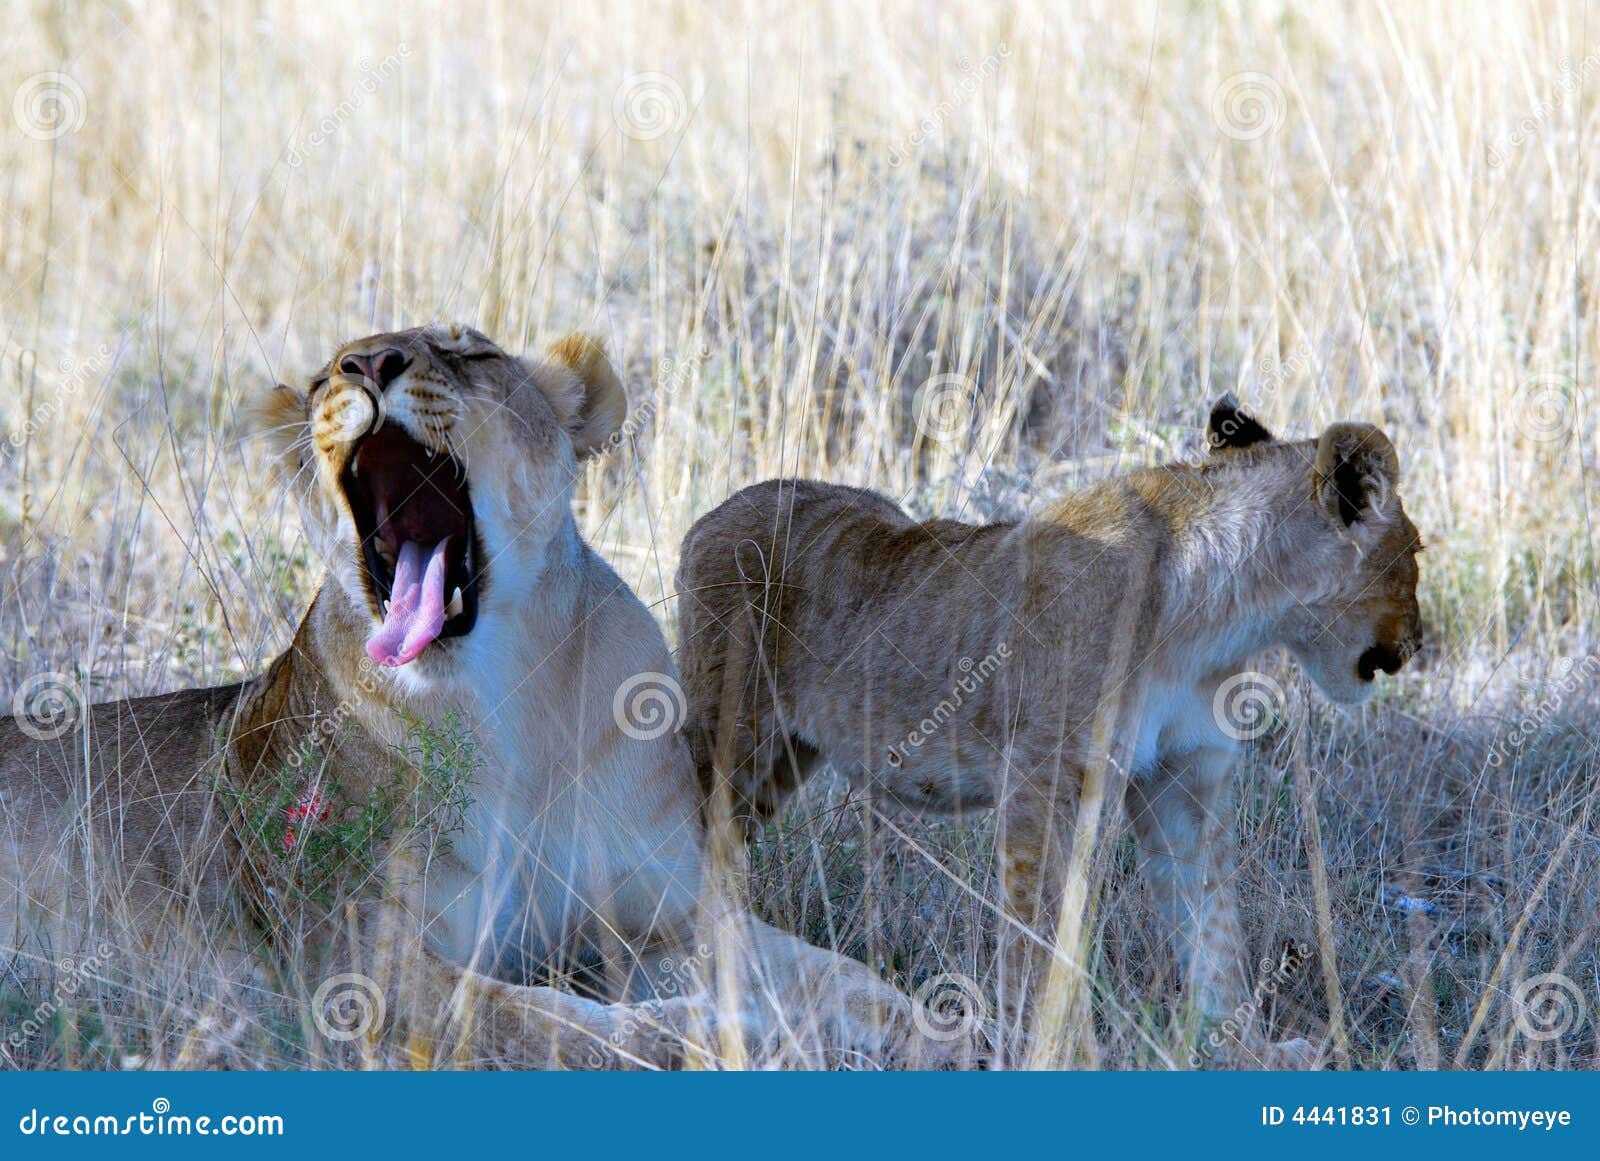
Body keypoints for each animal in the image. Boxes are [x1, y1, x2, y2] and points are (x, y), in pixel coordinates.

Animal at [0, 325, 957, 1069]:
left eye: (470, 351)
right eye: (321, 378)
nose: (366, 365)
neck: (511, 714)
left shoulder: (669, 914)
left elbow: (829, 971)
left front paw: (937, 1026)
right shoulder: (357, 969)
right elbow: (557, 1026)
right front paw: (725, 1032)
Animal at [674, 396, 1423, 1067]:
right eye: (1416, 555)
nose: (1418, 641)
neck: (1224, 618)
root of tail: (710, 517)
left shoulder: (1185, 780)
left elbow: (1213, 928)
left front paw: (1245, 1048)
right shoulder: (1042, 778)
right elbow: (1038, 941)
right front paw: (1050, 1050)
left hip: (780, 761)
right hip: (731, 738)